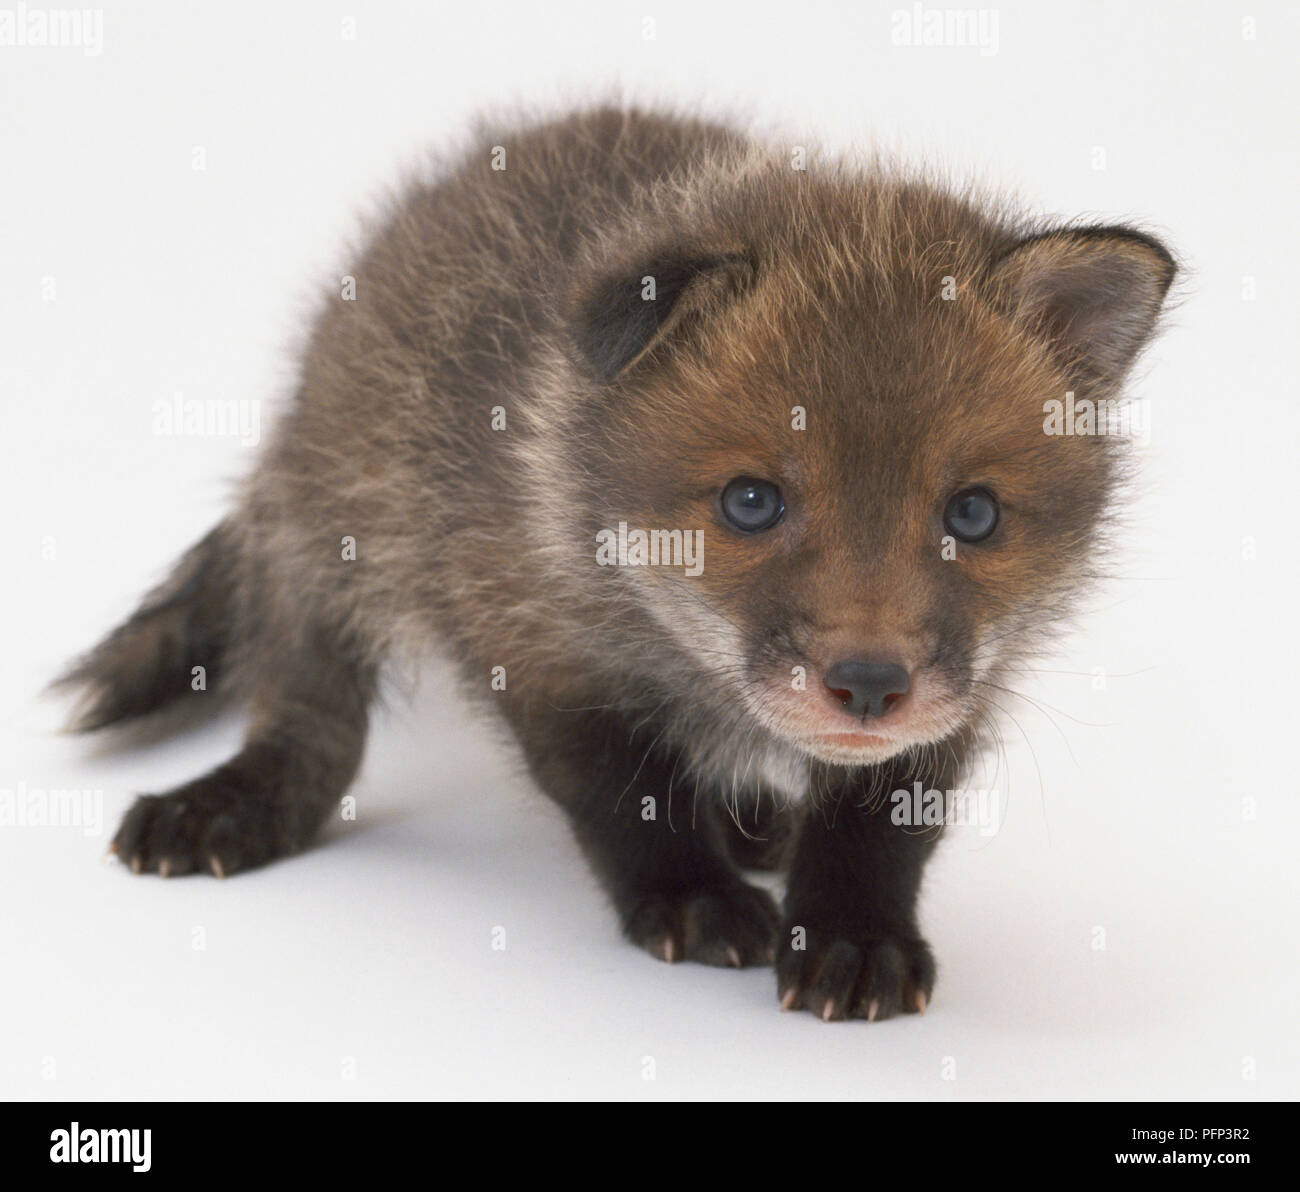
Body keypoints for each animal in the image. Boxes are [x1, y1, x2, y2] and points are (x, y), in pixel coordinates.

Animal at [57, 106, 1176, 1021]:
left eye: (973, 514)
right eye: (751, 501)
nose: (868, 684)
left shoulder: (963, 694)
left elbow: (882, 824)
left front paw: (855, 936)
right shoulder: (536, 644)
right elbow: (625, 800)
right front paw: (690, 899)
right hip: (326, 533)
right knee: (308, 714)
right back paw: (233, 801)